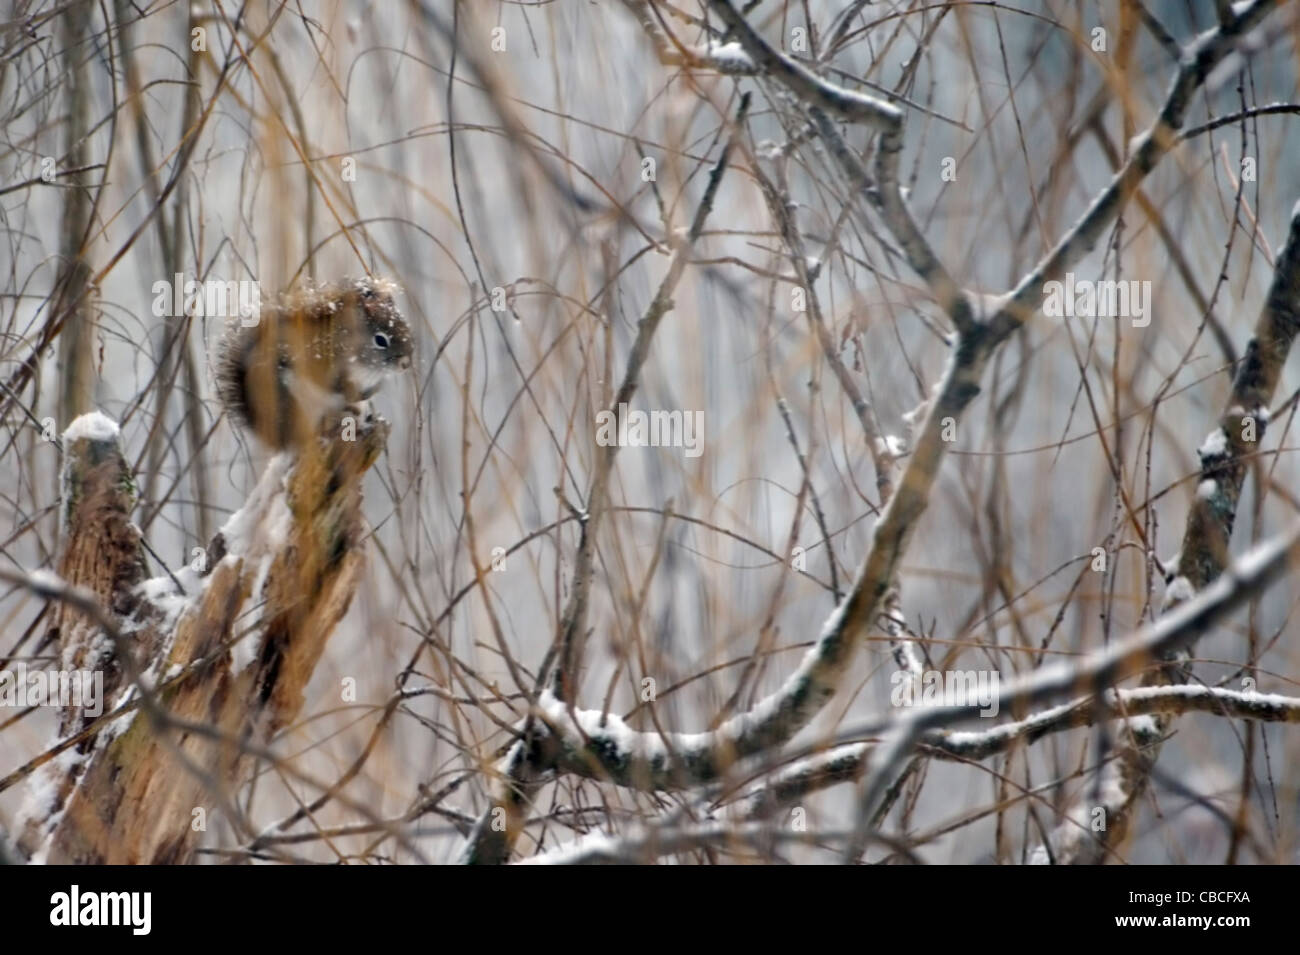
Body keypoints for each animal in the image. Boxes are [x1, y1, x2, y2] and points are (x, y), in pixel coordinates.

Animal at [215, 276, 413, 450]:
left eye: (406, 327)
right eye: (380, 340)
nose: (406, 364)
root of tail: (275, 437)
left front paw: (373, 391)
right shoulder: (319, 363)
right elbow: (334, 385)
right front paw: (353, 392)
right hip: (293, 404)